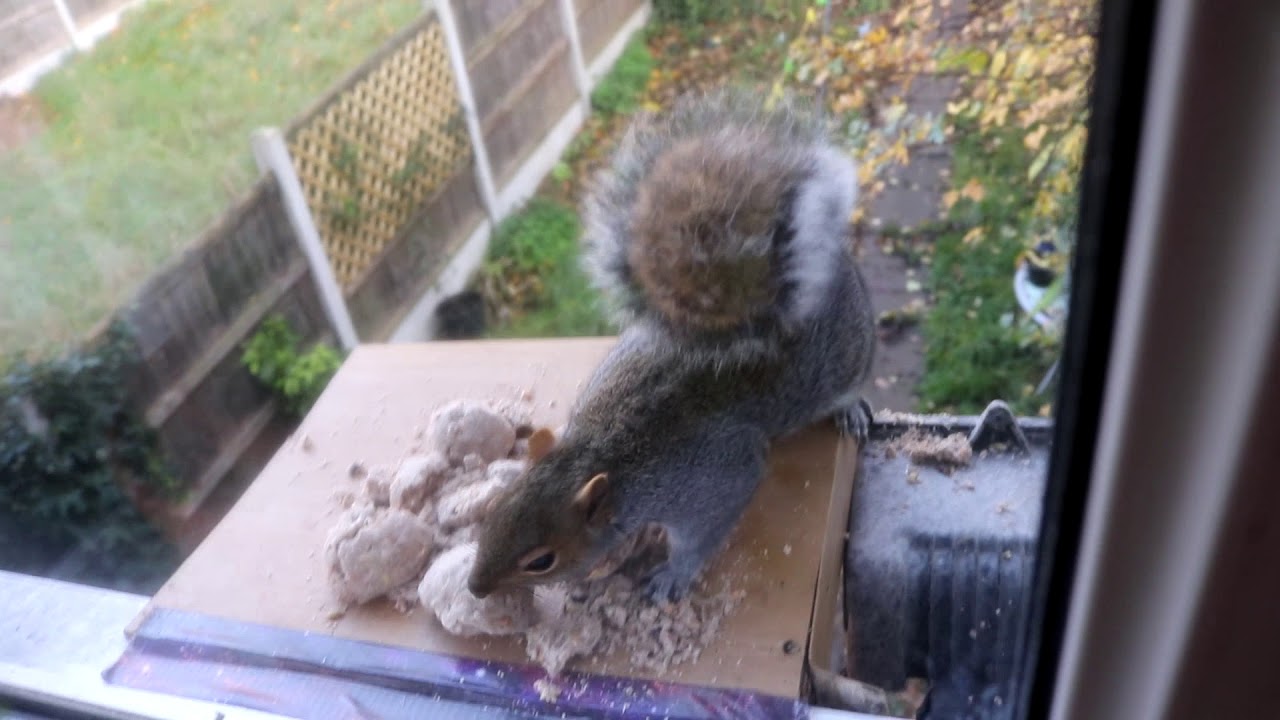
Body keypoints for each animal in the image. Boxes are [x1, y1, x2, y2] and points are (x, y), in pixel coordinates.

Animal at [468, 90, 877, 603]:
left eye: (541, 561)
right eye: (493, 512)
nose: (474, 588)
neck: (601, 457)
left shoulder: (712, 482)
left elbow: (702, 535)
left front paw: (671, 575)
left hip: (853, 352)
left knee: (851, 384)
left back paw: (851, 409)